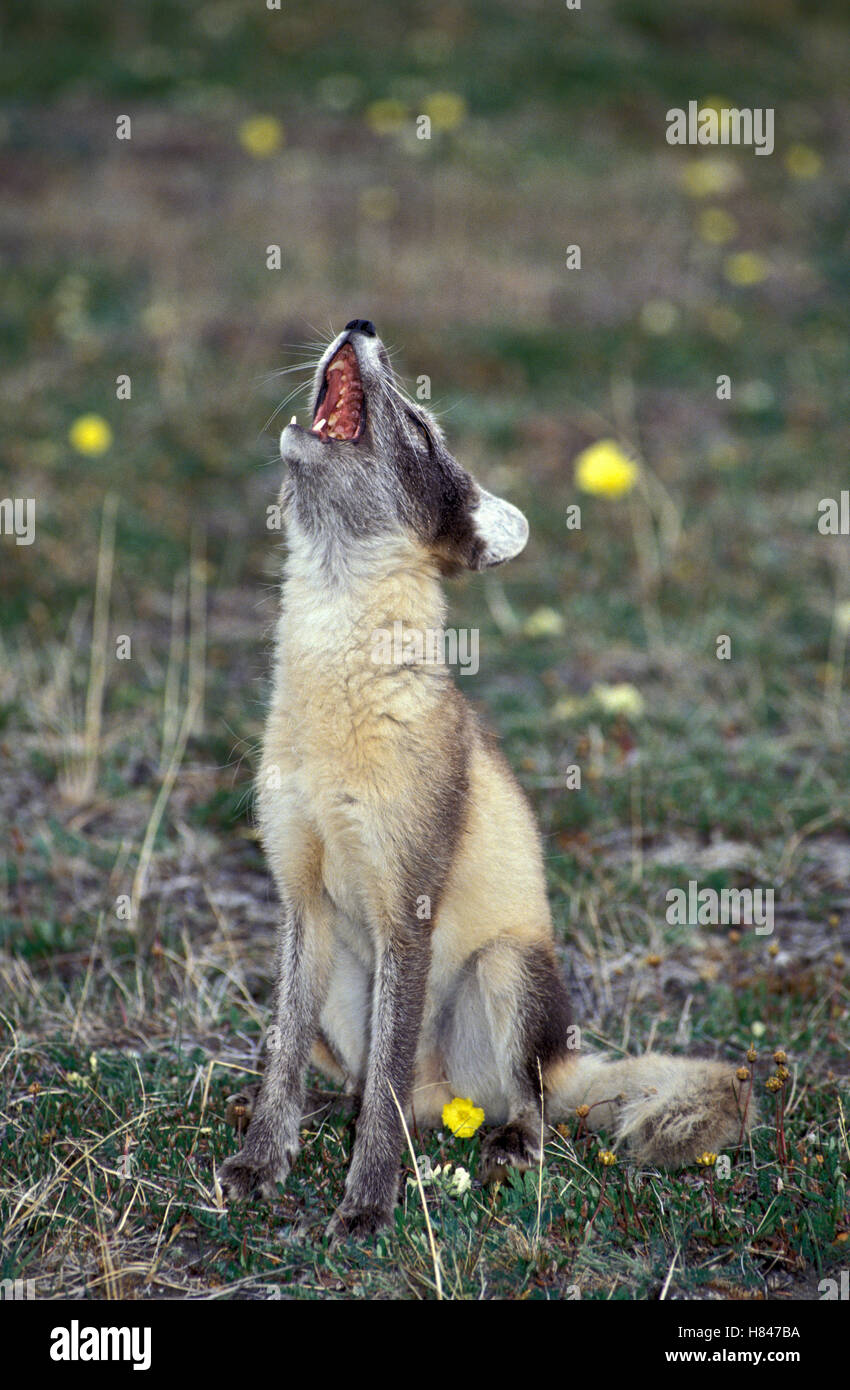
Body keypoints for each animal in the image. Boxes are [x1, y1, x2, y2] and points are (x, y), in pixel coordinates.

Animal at [219, 318, 753, 1239]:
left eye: (421, 428)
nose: (362, 324)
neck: (335, 702)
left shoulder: (408, 910)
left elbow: (385, 1091)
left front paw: (368, 1202)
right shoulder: (300, 897)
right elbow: (281, 1063)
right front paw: (264, 1159)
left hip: (504, 973)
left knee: (514, 1101)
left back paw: (507, 1143)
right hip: (342, 992)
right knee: (377, 1084)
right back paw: (348, 1113)